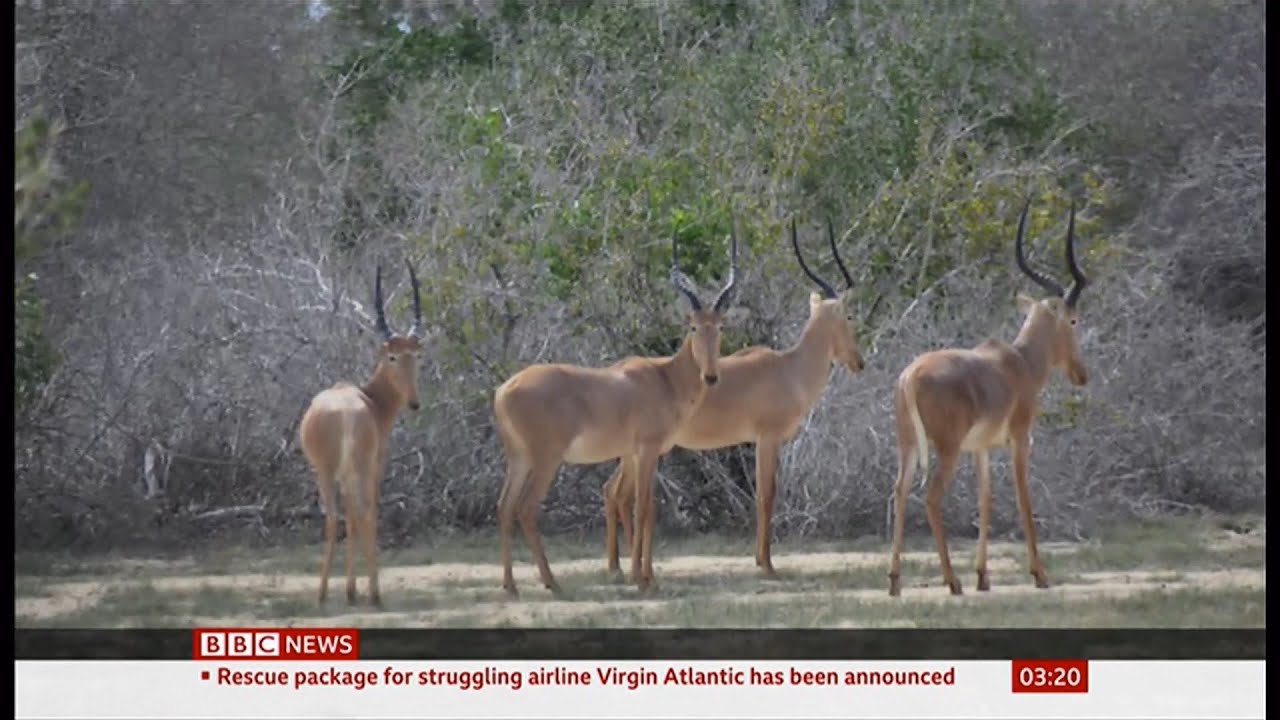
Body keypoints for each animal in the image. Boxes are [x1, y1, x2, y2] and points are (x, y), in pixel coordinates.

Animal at [298, 261, 424, 608]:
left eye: (416, 355)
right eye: (392, 355)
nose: (414, 402)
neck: (369, 399)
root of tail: (344, 414)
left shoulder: (341, 474)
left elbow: (349, 520)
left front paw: (349, 589)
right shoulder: (375, 467)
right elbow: (364, 516)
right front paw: (357, 589)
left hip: (325, 471)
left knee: (334, 519)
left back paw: (322, 593)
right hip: (361, 469)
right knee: (365, 514)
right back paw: (374, 593)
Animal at [493, 228, 739, 595]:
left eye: (719, 326)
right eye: (693, 326)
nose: (711, 376)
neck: (663, 378)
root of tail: (506, 389)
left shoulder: (635, 455)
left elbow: (640, 506)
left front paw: (643, 574)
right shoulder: (647, 451)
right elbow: (643, 508)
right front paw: (642, 578)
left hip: (519, 458)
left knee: (505, 507)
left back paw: (510, 585)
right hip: (546, 459)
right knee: (526, 508)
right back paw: (551, 581)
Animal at [603, 217, 869, 578]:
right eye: (850, 316)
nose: (859, 362)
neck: (789, 368)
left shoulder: (758, 442)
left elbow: (761, 495)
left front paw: (759, 559)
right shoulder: (767, 438)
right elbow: (767, 495)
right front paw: (767, 564)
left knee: (612, 492)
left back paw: (617, 565)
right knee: (619, 494)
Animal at [888, 199, 1090, 597]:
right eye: (1073, 320)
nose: (1081, 374)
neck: (1020, 362)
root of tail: (912, 375)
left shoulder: (980, 449)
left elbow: (985, 498)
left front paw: (983, 576)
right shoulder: (1019, 440)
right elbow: (1023, 498)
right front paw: (1040, 575)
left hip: (909, 446)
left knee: (900, 492)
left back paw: (895, 582)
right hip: (946, 450)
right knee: (931, 498)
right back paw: (952, 582)